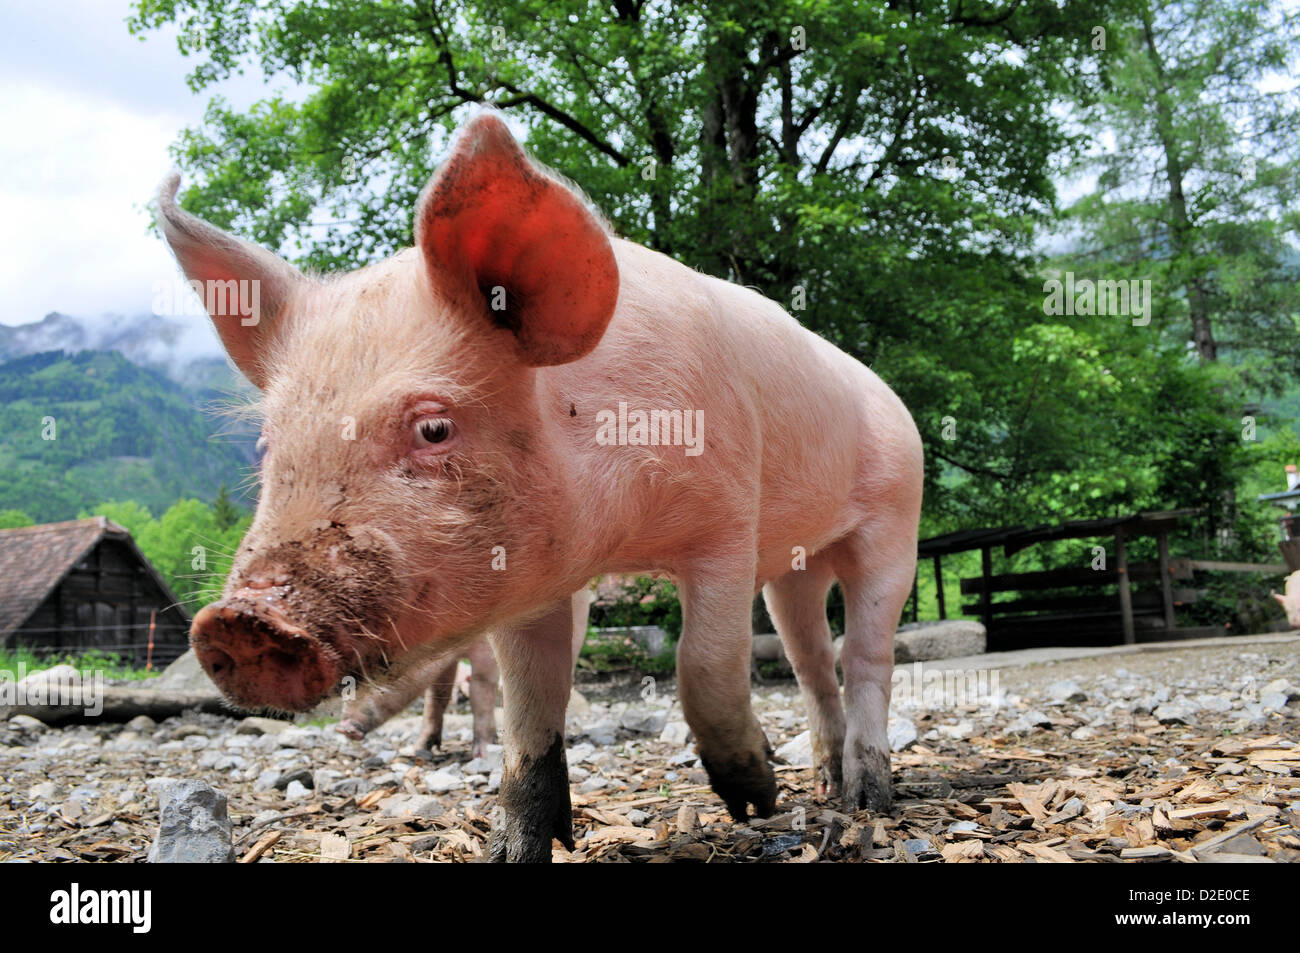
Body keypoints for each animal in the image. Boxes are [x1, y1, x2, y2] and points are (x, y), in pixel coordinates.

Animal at [161, 109, 924, 862]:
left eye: (434, 427)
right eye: (268, 443)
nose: (242, 618)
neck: (623, 535)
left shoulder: (729, 517)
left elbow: (702, 662)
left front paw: (754, 801)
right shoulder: (529, 576)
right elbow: (531, 706)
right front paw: (516, 849)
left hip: (897, 516)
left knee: (866, 654)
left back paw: (865, 800)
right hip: (794, 569)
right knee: (810, 659)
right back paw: (824, 785)